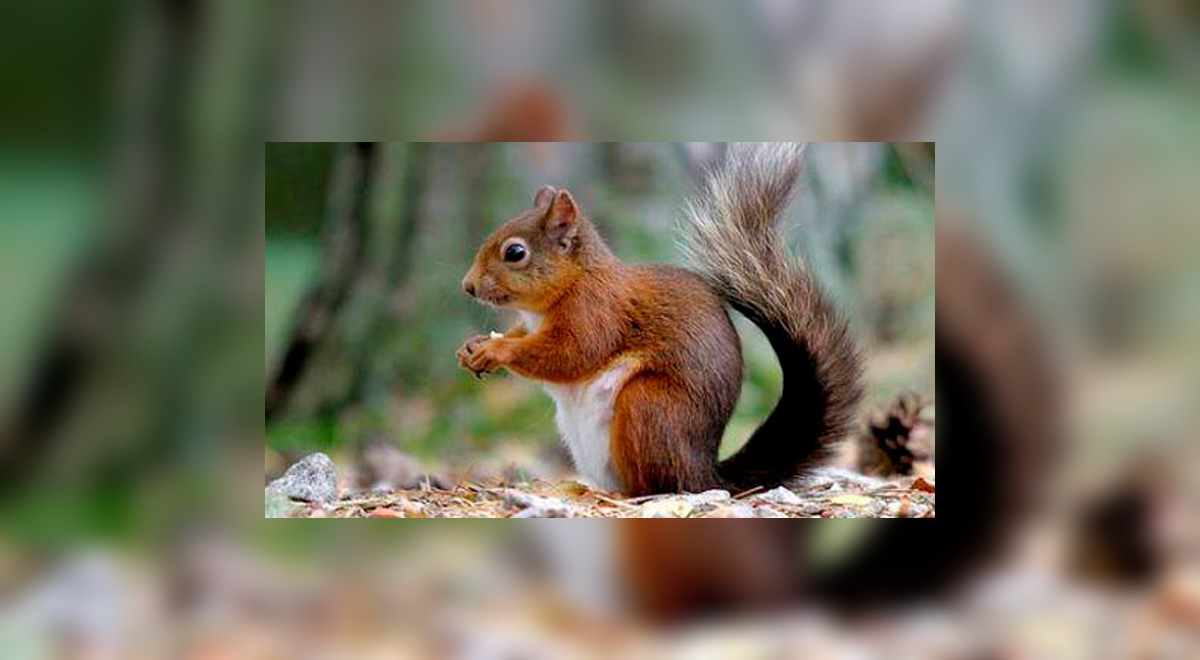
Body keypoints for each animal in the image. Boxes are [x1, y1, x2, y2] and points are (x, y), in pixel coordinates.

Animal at [457, 143, 863, 496]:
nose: (467, 287)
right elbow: (523, 335)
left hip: (648, 408)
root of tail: (707, 474)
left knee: (660, 483)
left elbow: (571, 353)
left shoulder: (597, 310)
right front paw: (472, 347)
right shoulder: (532, 322)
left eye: (515, 252)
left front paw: (497, 351)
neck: (573, 282)